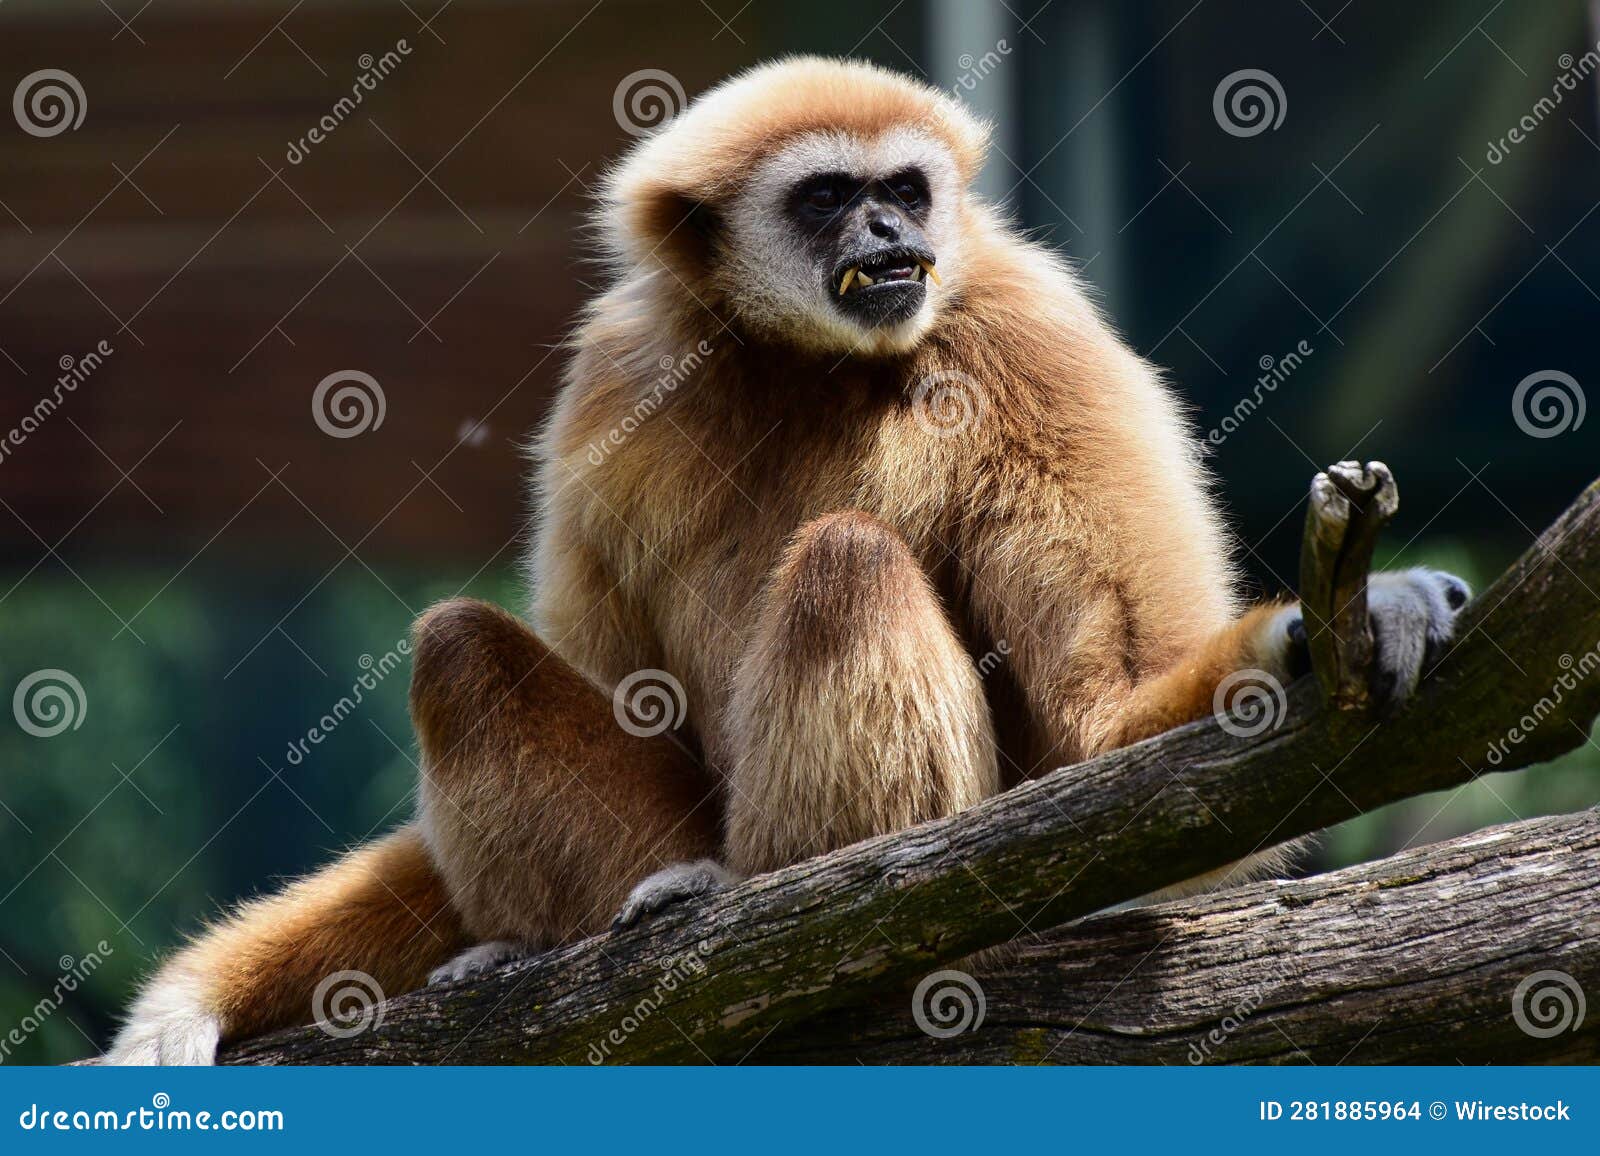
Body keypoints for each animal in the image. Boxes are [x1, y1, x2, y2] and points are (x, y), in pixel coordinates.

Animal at [106, 57, 1468, 1064]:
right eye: (825, 196)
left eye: (904, 188)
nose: (886, 225)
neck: (804, 361)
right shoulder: (615, 376)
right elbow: (619, 688)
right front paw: (193, 998)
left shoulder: (1034, 336)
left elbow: (1099, 724)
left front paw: (1324, 635)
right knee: (460, 650)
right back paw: (544, 942)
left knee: (847, 563)